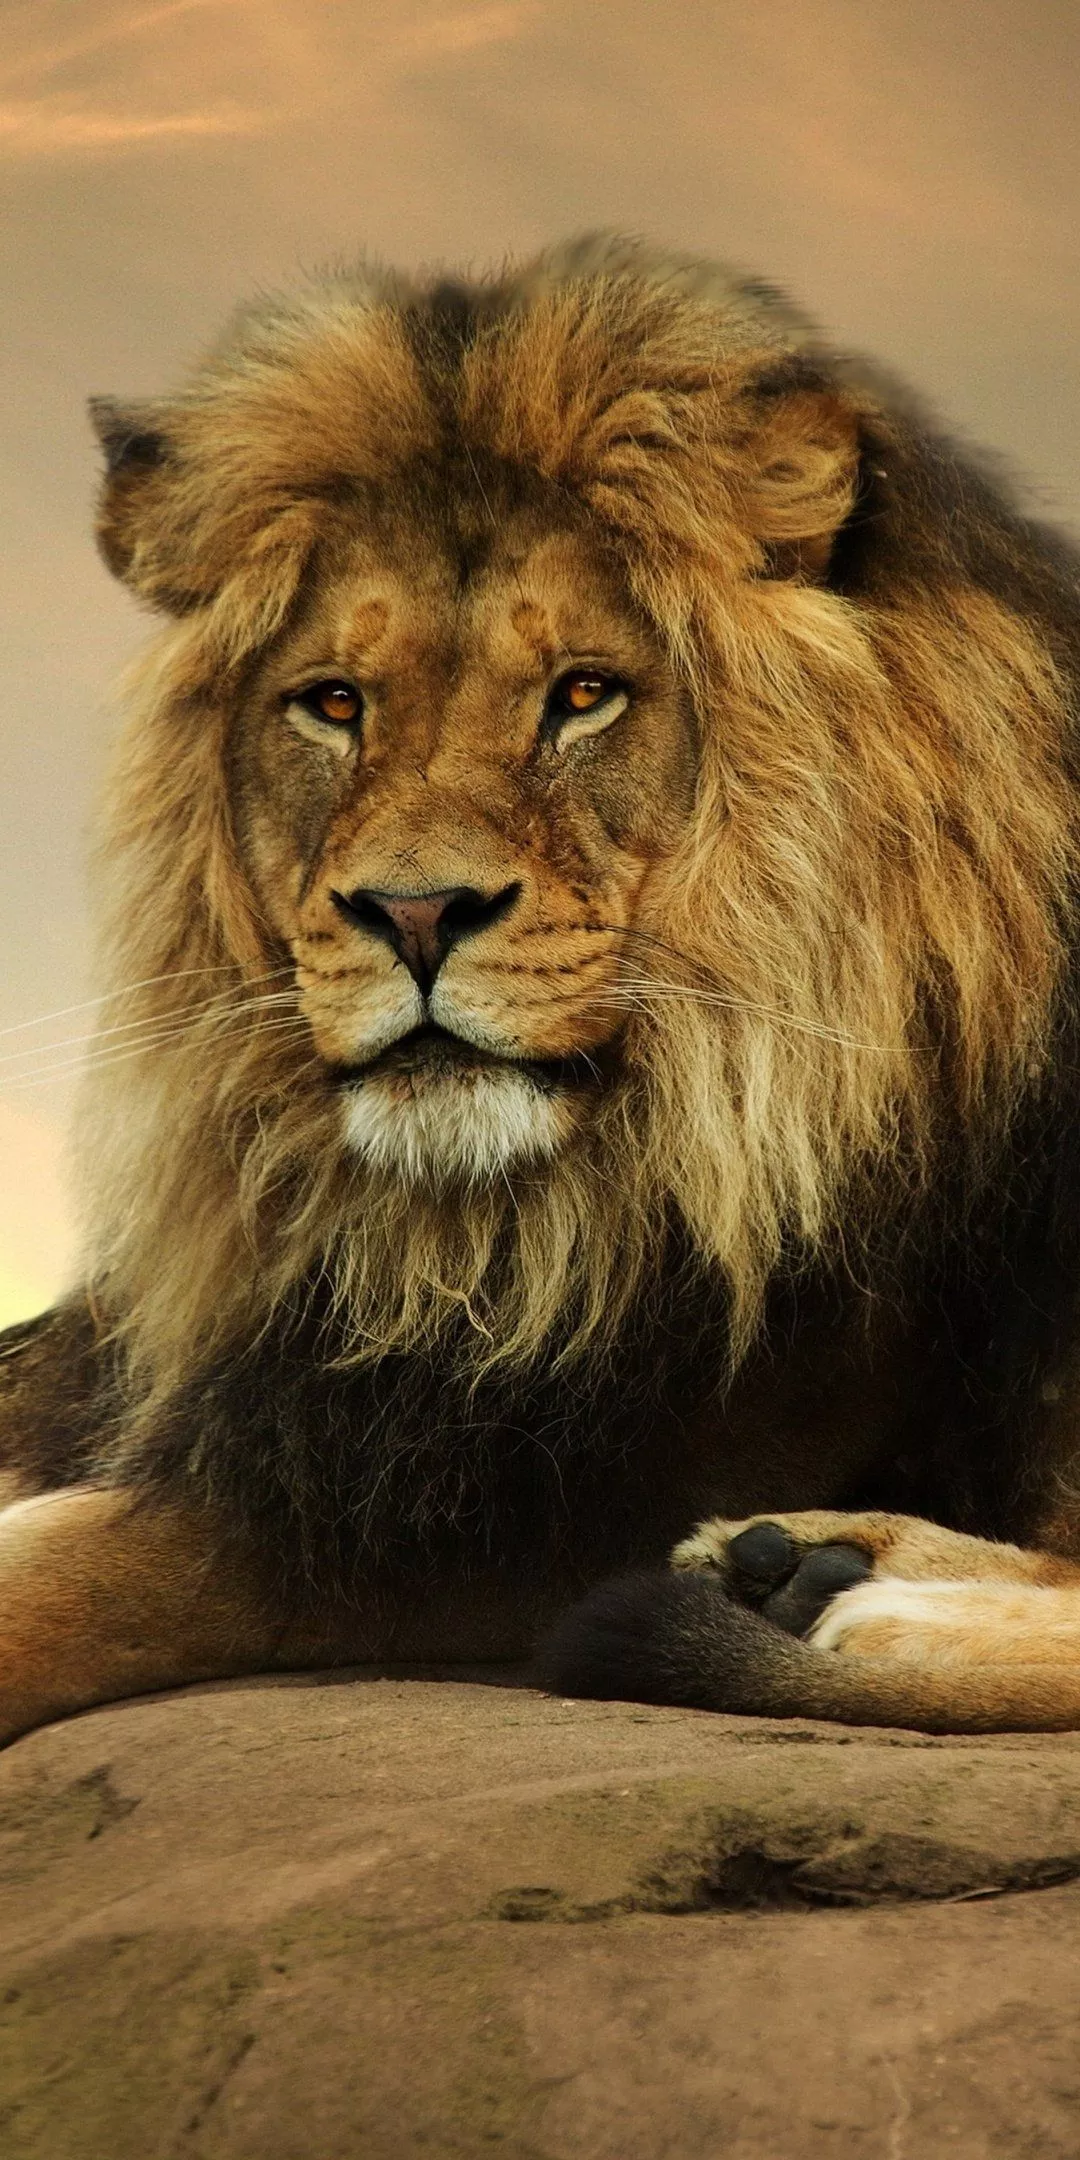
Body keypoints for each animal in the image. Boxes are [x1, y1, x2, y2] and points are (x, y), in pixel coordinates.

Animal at [3, 233, 1080, 1745]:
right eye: (333, 703)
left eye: (583, 694)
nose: (415, 912)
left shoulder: (517, 1496)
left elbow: (78, 1576)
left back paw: (853, 1601)